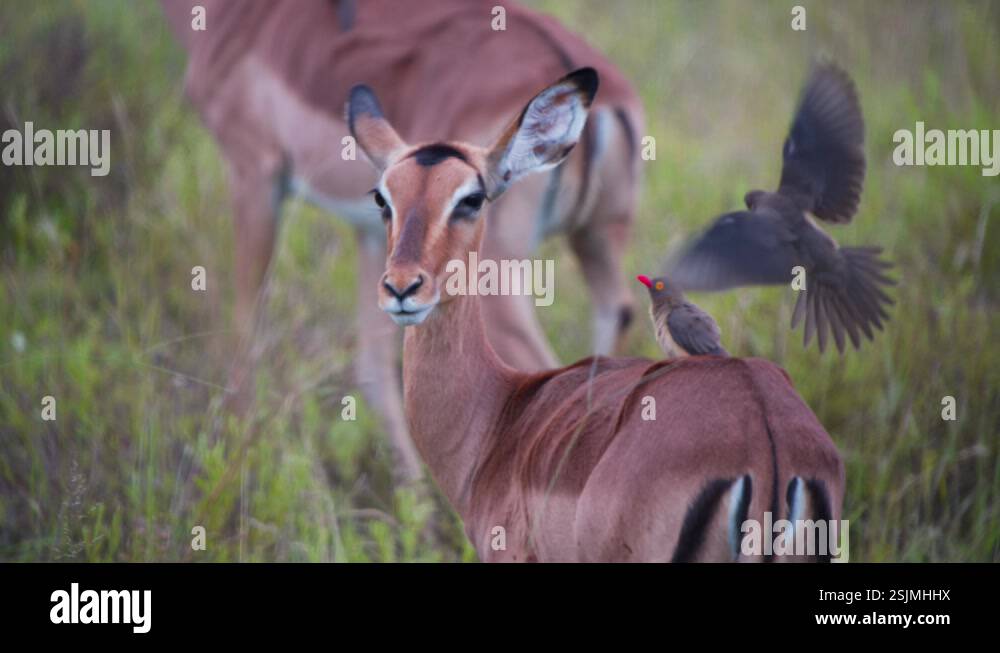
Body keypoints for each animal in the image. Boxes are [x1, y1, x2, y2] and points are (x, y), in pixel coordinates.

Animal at [160, 0, 643, 484]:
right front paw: (412, 493)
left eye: (471, 199)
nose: (403, 288)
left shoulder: (253, 173)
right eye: (381, 196)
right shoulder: (371, 235)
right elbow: (373, 369)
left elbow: (245, 334)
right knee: (614, 323)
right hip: (598, 239)